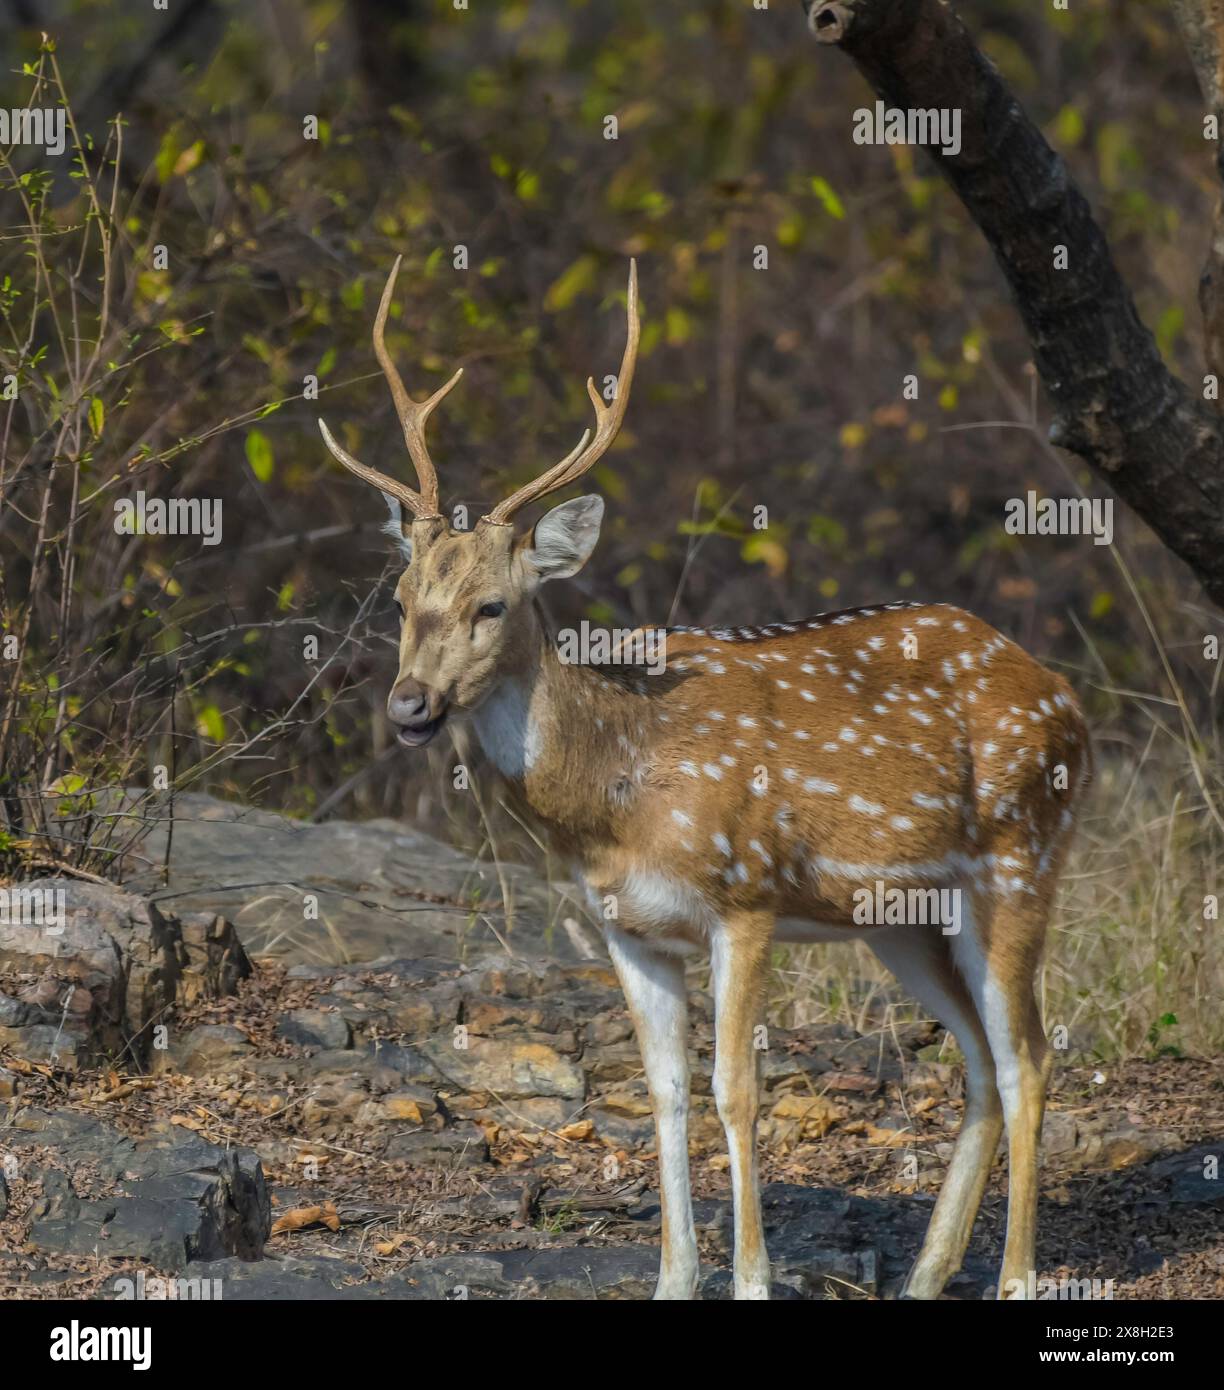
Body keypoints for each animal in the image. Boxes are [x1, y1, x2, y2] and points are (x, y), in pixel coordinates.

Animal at [319, 257, 1091, 1301]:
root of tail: (1069, 700)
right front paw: (673, 1279)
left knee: (1030, 1059)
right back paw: (928, 1274)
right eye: (402, 600)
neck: (618, 794)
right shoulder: (628, 928)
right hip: (902, 917)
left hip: (1021, 860)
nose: (408, 705)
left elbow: (736, 1092)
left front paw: (753, 1279)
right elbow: (663, 1094)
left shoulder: (746, 896)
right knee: (976, 1060)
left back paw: (1014, 1277)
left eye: (493, 604)